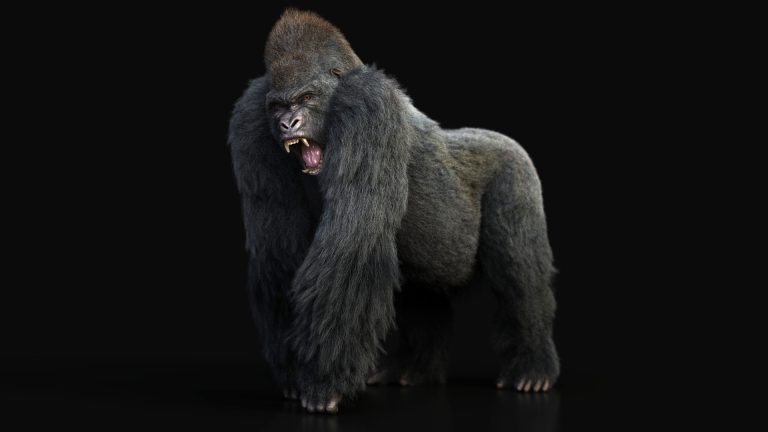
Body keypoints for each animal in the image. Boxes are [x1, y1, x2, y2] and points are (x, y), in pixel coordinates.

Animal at [229, 9, 559, 414]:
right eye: (277, 107)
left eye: (306, 98)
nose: (288, 123)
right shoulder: (250, 116)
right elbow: (276, 250)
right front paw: (294, 372)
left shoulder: (368, 105)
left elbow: (350, 247)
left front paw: (323, 382)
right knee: (422, 288)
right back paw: (414, 369)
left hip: (517, 172)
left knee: (519, 276)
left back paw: (532, 366)